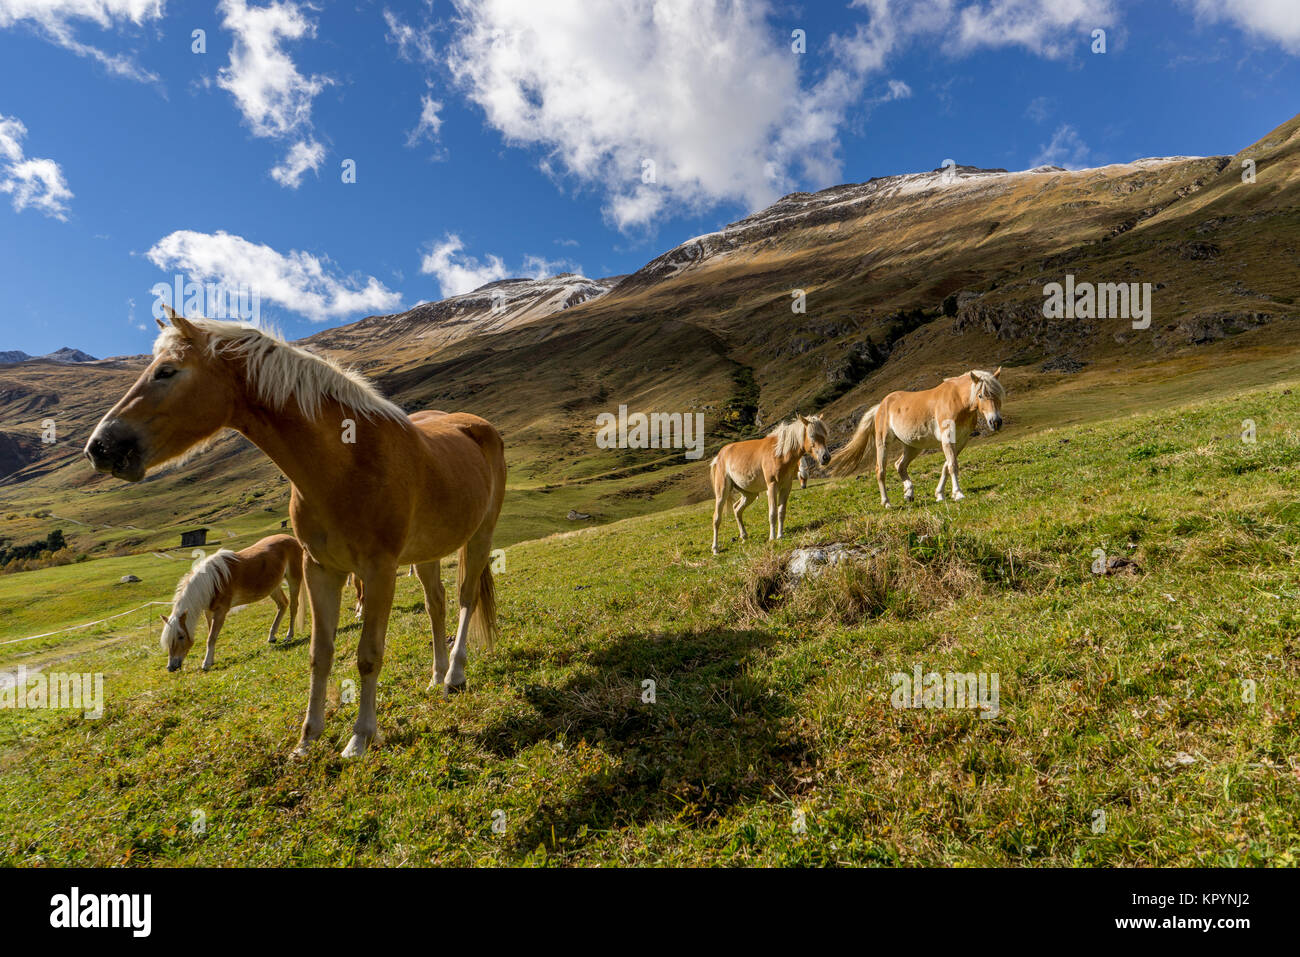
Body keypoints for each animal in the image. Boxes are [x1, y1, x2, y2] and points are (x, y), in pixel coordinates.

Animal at [159, 534, 304, 672]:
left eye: (181, 637)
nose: (171, 667)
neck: (212, 582)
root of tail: (292, 539)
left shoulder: (220, 612)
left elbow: (211, 637)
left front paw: (206, 664)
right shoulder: (209, 612)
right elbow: (211, 635)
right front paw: (211, 660)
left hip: (294, 580)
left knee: (293, 607)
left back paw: (289, 636)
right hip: (273, 587)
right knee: (282, 605)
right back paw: (272, 636)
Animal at [710, 414, 831, 554]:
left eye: (825, 434)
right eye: (812, 436)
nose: (826, 457)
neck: (780, 453)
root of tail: (719, 456)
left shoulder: (786, 487)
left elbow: (781, 512)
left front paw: (780, 535)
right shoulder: (772, 487)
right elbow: (772, 513)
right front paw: (772, 538)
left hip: (749, 494)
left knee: (737, 509)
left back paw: (744, 537)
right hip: (722, 492)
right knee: (716, 518)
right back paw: (715, 549)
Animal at [830, 368, 1004, 506]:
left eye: (998, 395)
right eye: (980, 395)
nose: (995, 422)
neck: (958, 400)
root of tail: (881, 405)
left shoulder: (961, 441)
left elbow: (946, 466)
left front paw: (940, 495)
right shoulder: (948, 438)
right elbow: (952, 465)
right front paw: (958, 493)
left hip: (912, 446)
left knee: (900, 465)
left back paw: (909, 493)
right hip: (883, 443)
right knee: (881, 470)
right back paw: (886, 502)